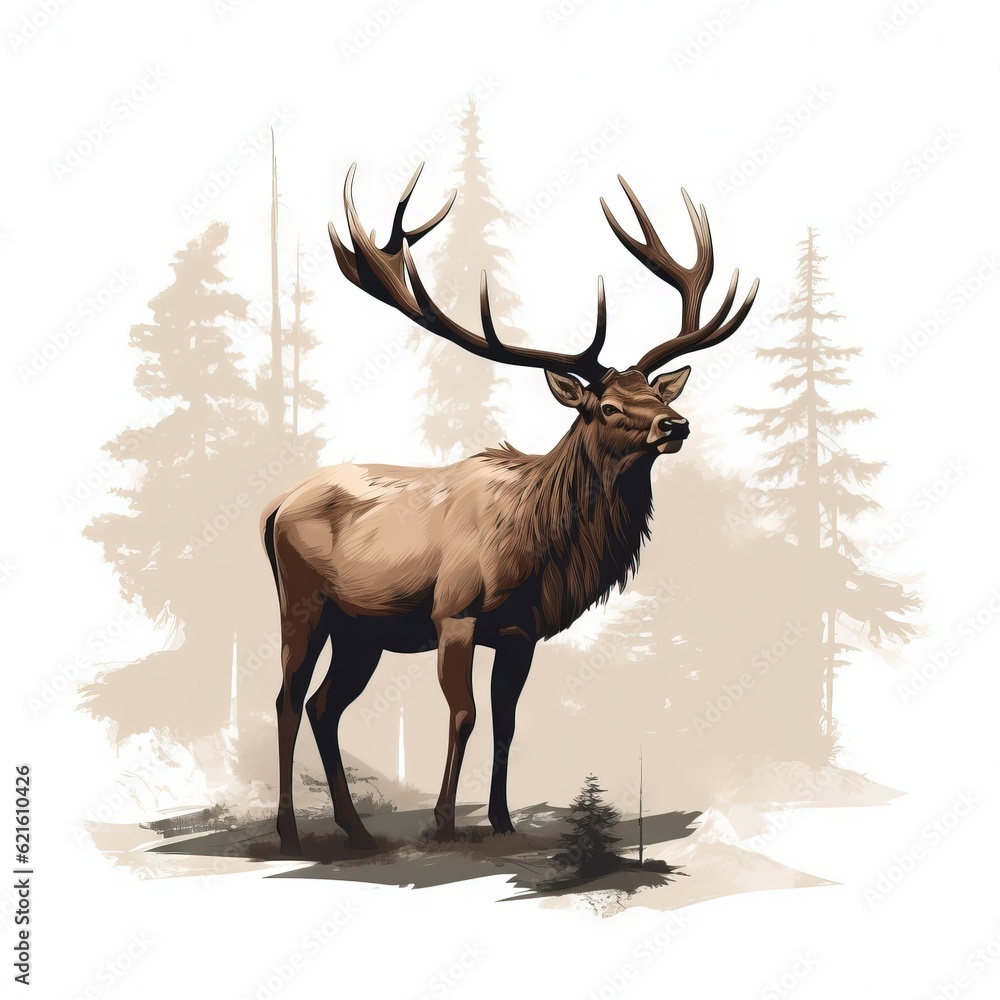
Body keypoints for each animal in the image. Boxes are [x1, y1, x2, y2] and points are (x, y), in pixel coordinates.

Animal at [260, 163, 758, 855]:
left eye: (657, 394)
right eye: (607, 407)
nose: (676, 424)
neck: (539, 544)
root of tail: (275, 505)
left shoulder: (522, 632)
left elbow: (507, 721)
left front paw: (501, 820)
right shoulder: (454, 613)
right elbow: (463, 714)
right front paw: (445, 822)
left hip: (363, 629)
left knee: (324, 706)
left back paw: (357, 831)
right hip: (303, 601)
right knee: (287, 698)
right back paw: (289, 833)